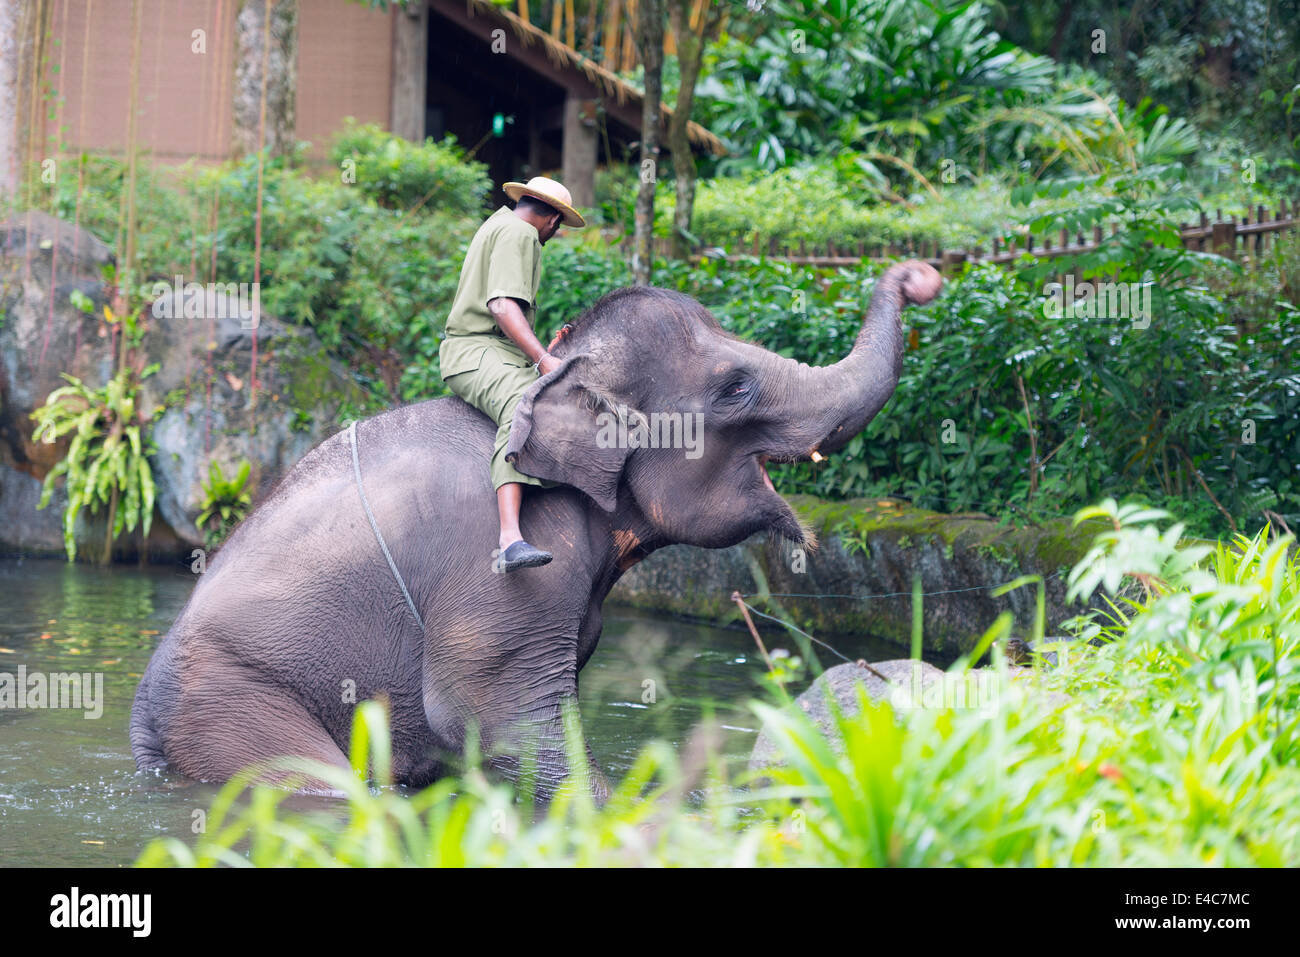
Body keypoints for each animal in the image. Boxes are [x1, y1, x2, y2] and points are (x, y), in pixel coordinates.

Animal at [129, 260, 942, 797]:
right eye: (735, 387)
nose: (920, 274)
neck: (557, 375)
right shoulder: (507, 569)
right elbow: (496, 721)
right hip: (234, 703)